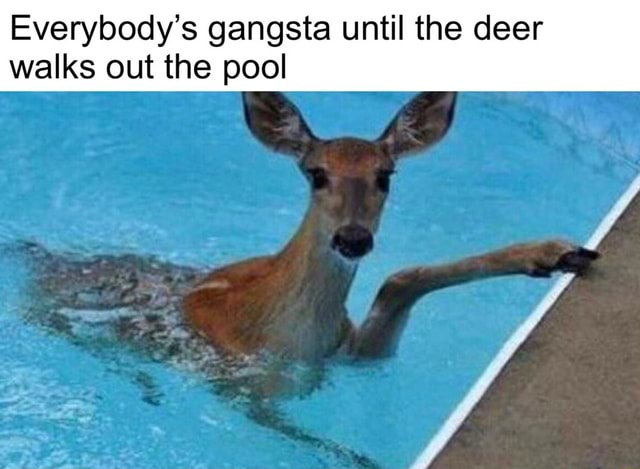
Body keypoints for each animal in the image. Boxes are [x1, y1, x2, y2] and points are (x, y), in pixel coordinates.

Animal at [12, 91, 599, 469]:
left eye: (385, 175)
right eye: (316, 173)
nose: (353, 238)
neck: (294, 331)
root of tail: (39, 253)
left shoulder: (348, 354)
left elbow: (399, 279)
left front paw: (553, 253)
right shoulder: (245, 388)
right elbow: (309, 438)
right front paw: (360, 456)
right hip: (48, 310)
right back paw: (144, 383)